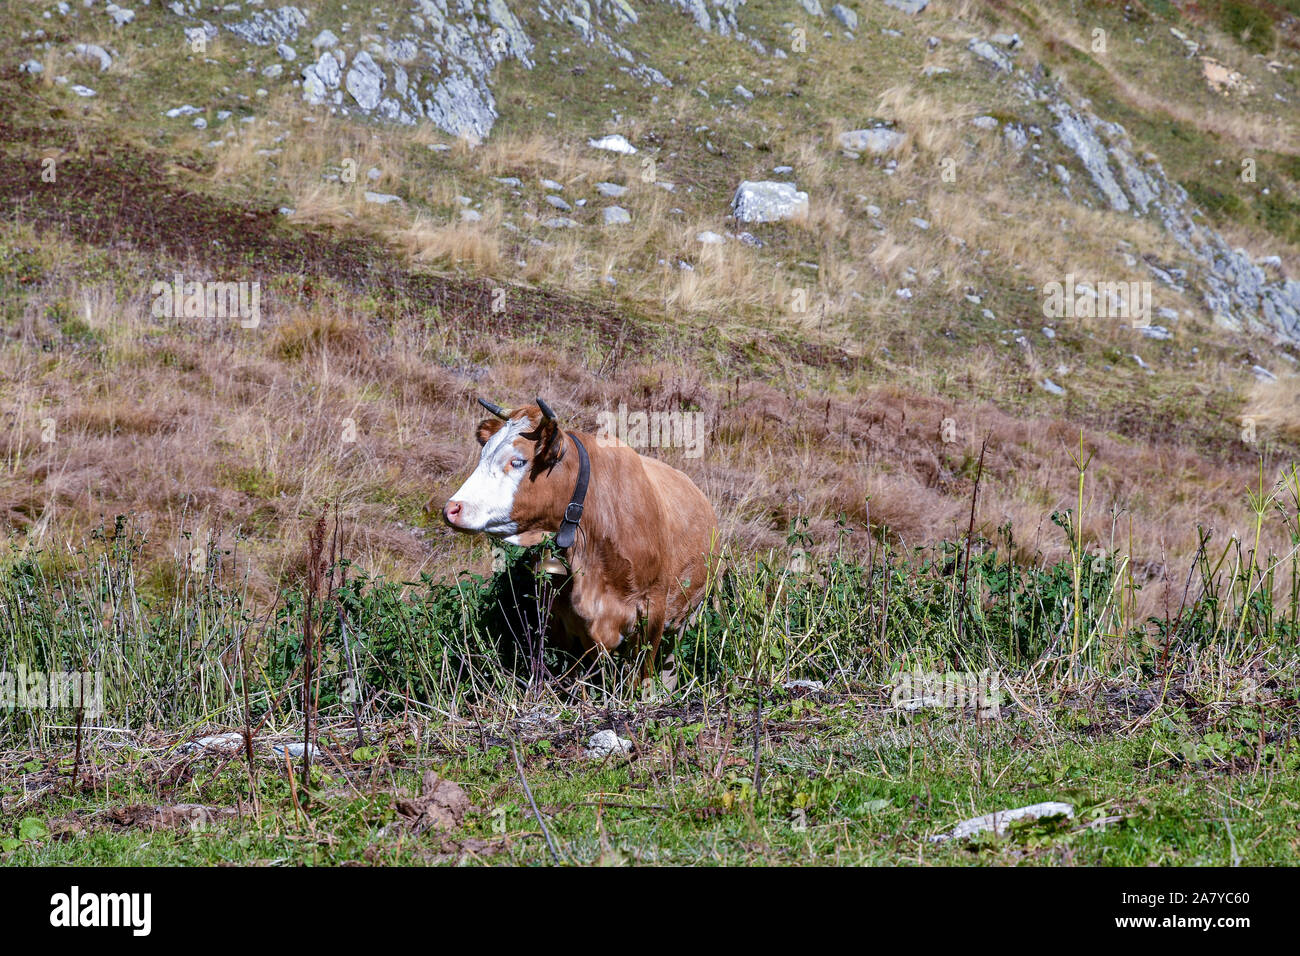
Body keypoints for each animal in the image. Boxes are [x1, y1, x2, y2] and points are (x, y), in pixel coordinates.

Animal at [442, 397, 718, 677]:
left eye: (517, 461)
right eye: (483, 454)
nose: (452, 509)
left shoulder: (653, 613)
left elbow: (641, 677)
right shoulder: (565, 621)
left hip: (691, 611)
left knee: (671, 665)